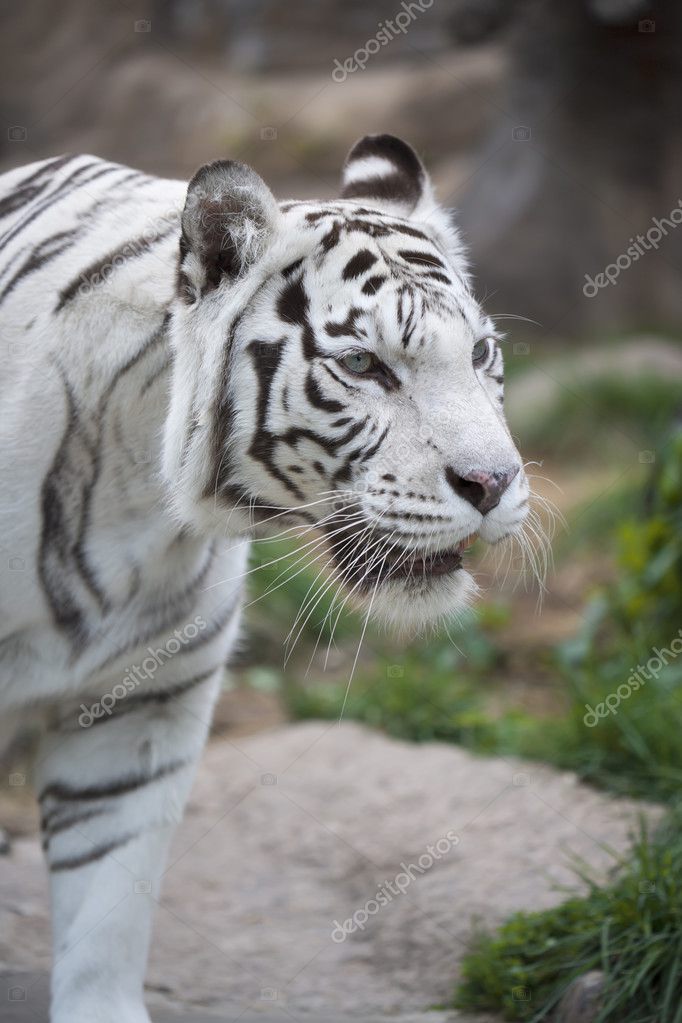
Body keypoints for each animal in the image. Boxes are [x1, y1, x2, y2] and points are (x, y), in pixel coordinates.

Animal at [0, 134, 530, 1022]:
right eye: (363, 364)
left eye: (482, 353)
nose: (492, 483)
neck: (136, 501)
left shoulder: (138, 708)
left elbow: (106, 912)